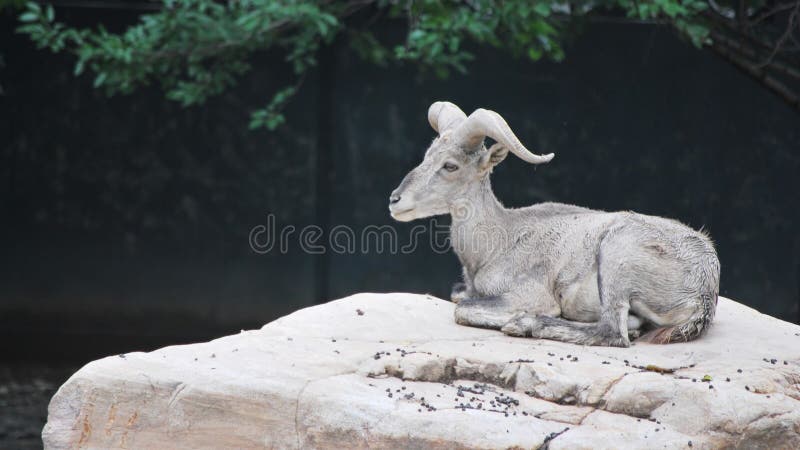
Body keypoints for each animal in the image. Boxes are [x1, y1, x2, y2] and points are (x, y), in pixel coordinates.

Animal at [388, 101, 720, 347]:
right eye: (427, 156)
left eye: (450, 166)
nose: (395, 200)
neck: (498, 241)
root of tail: (704, 287)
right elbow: (459, 295)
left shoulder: (529, 293)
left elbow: (462, 308)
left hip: (616, 256)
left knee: (613, 332)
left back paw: (524, 324)